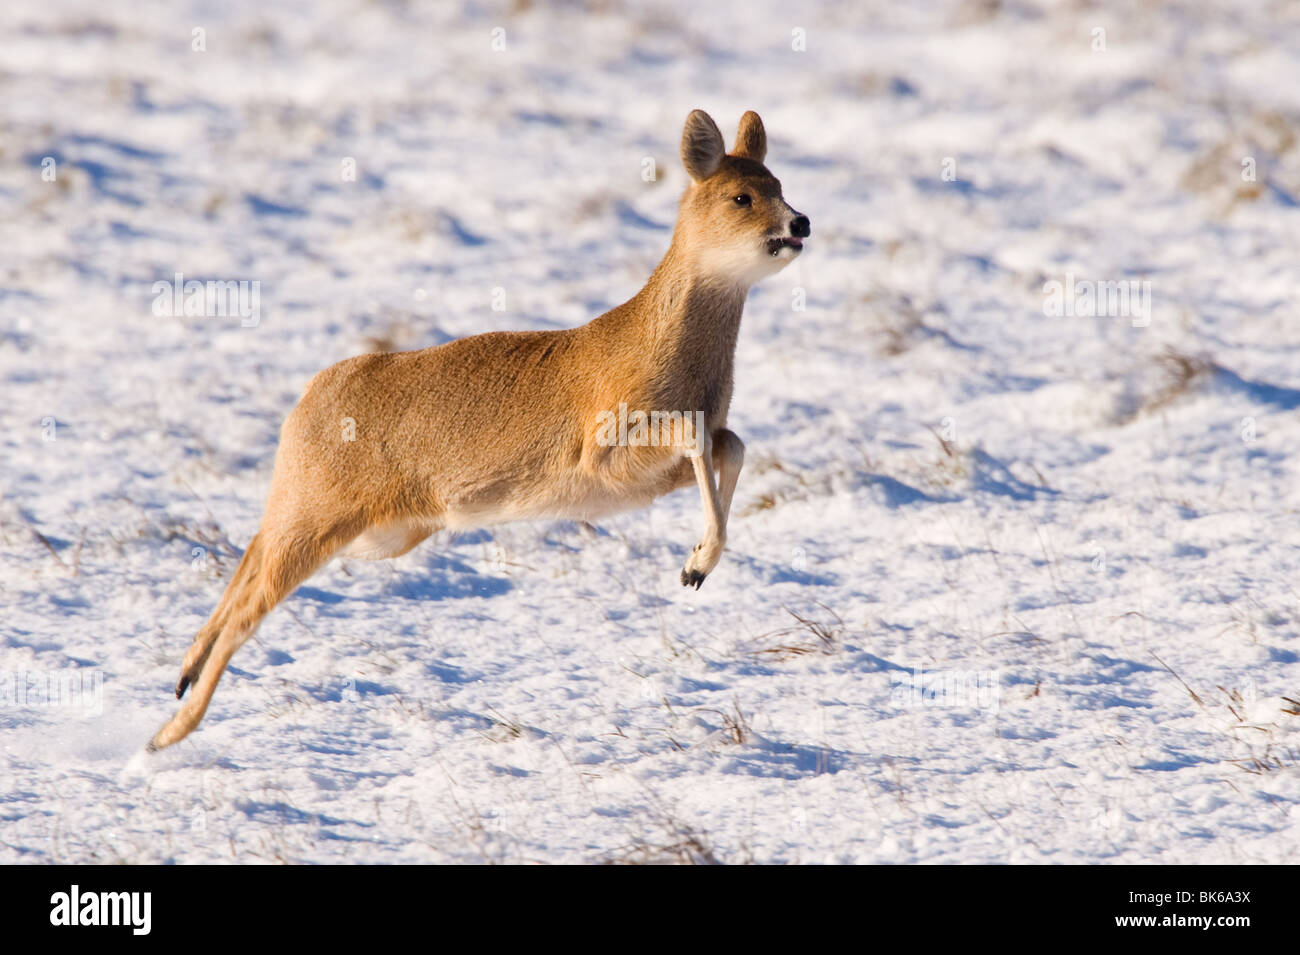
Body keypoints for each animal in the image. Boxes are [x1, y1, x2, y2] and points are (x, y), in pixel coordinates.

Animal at [149, 109, 810, 750]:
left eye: (780, 184)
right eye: (742, 197)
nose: (800, 222)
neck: (667, 355)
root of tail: (305, 403)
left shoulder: (659, 469)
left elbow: (731, 443)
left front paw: (697, 561)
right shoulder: (602, 449)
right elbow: (699, 438)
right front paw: (697, 563)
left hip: (372, 529)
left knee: (253, 551)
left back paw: (181, 677)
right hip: (329, 511)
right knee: (251, 598)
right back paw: (168, 733)